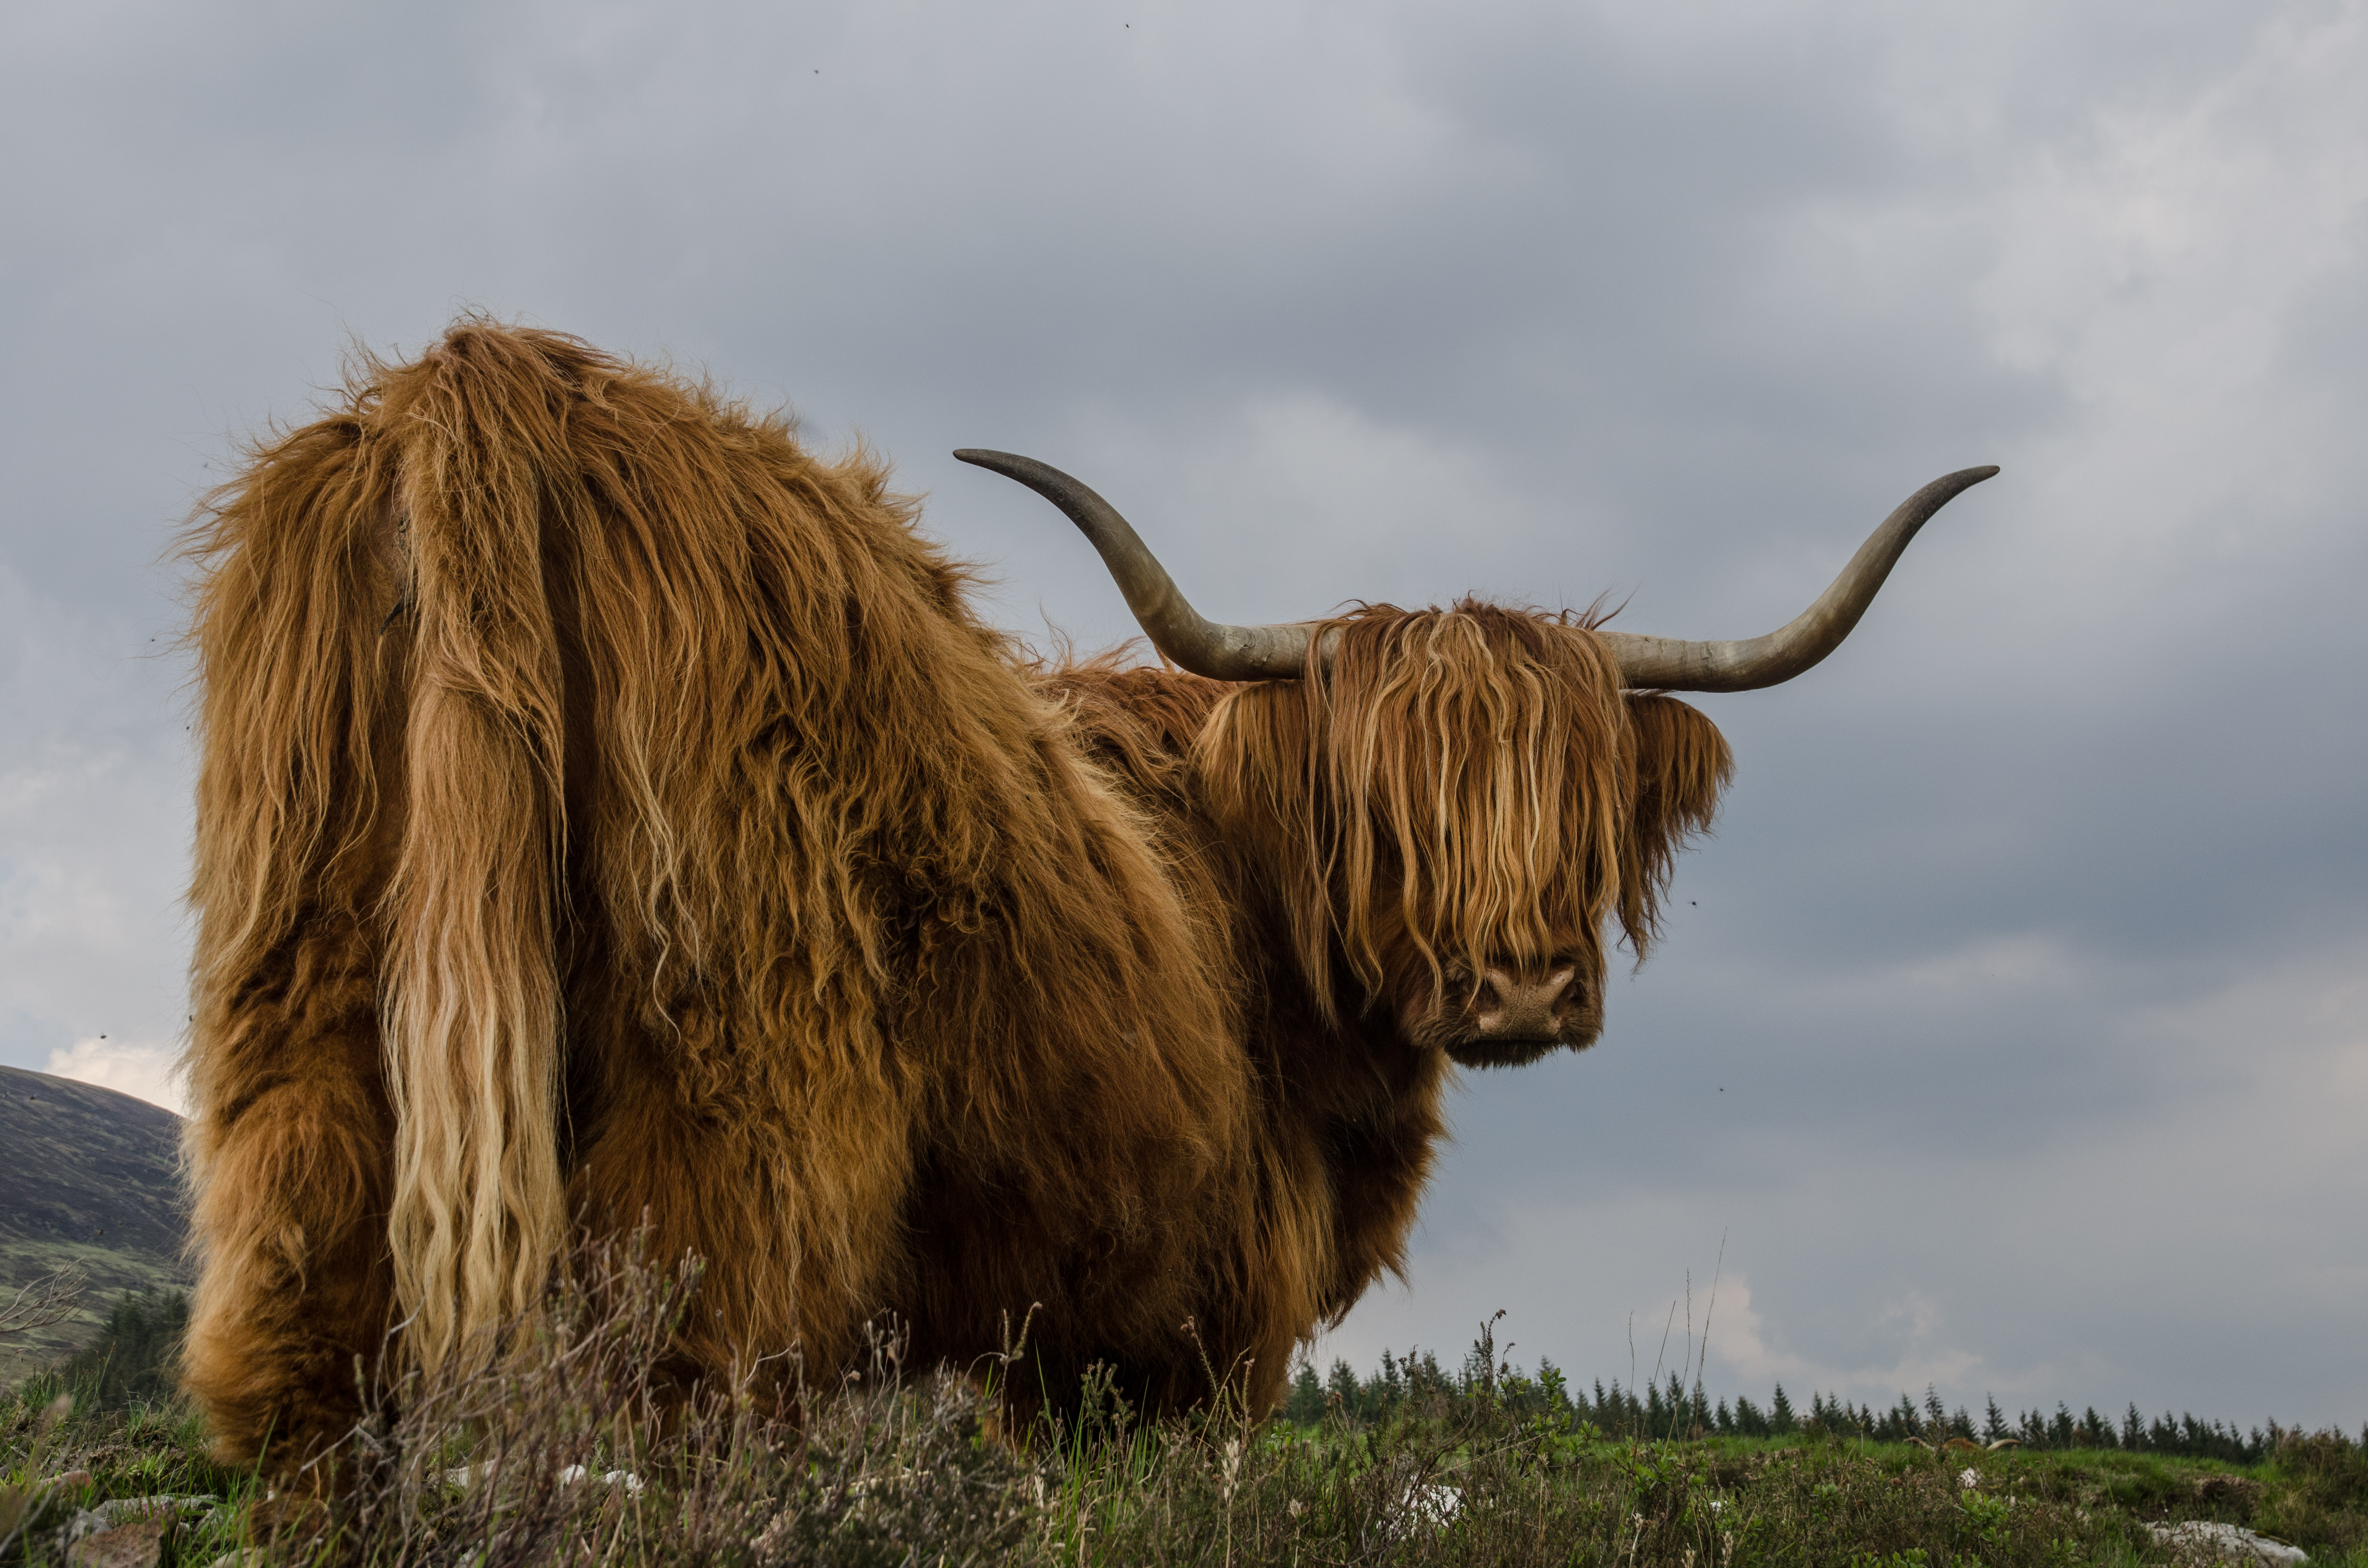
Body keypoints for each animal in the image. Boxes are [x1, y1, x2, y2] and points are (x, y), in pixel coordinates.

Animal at [178, 322, 1991, 1469]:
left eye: (1586, 792)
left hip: (306, 1023)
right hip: (741, 1124)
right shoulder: (1190, 1337)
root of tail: (485, 380)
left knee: (302, 1384)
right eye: (1386, 807)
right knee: (666, 1401)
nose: (1522, 987)